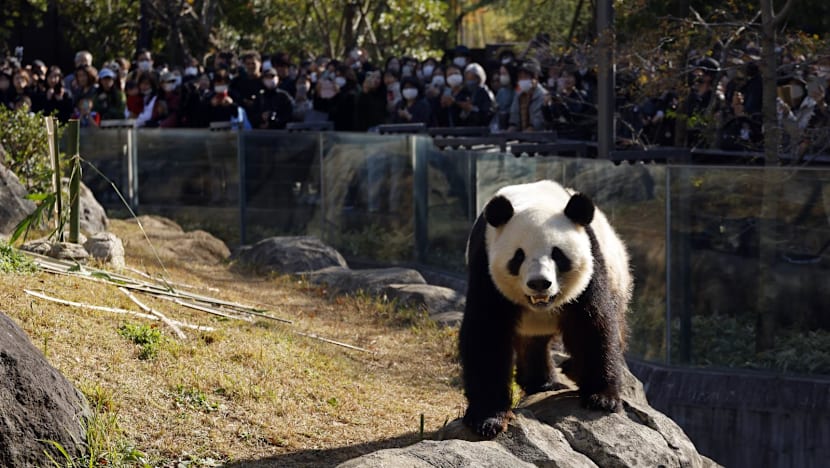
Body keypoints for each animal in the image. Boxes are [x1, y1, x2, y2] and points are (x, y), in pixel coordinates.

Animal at [459, 179, 632, 437]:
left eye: (558, 254)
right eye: (518, 256)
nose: (539, 283)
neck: (534, 200)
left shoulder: (592, 266)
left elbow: (592, 324)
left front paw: (602, 398)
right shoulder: (485, 267)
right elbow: (485, 334)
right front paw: (488, 418)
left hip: (617, 278)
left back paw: (564, 374)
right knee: (533, 343)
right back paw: (542, 381)